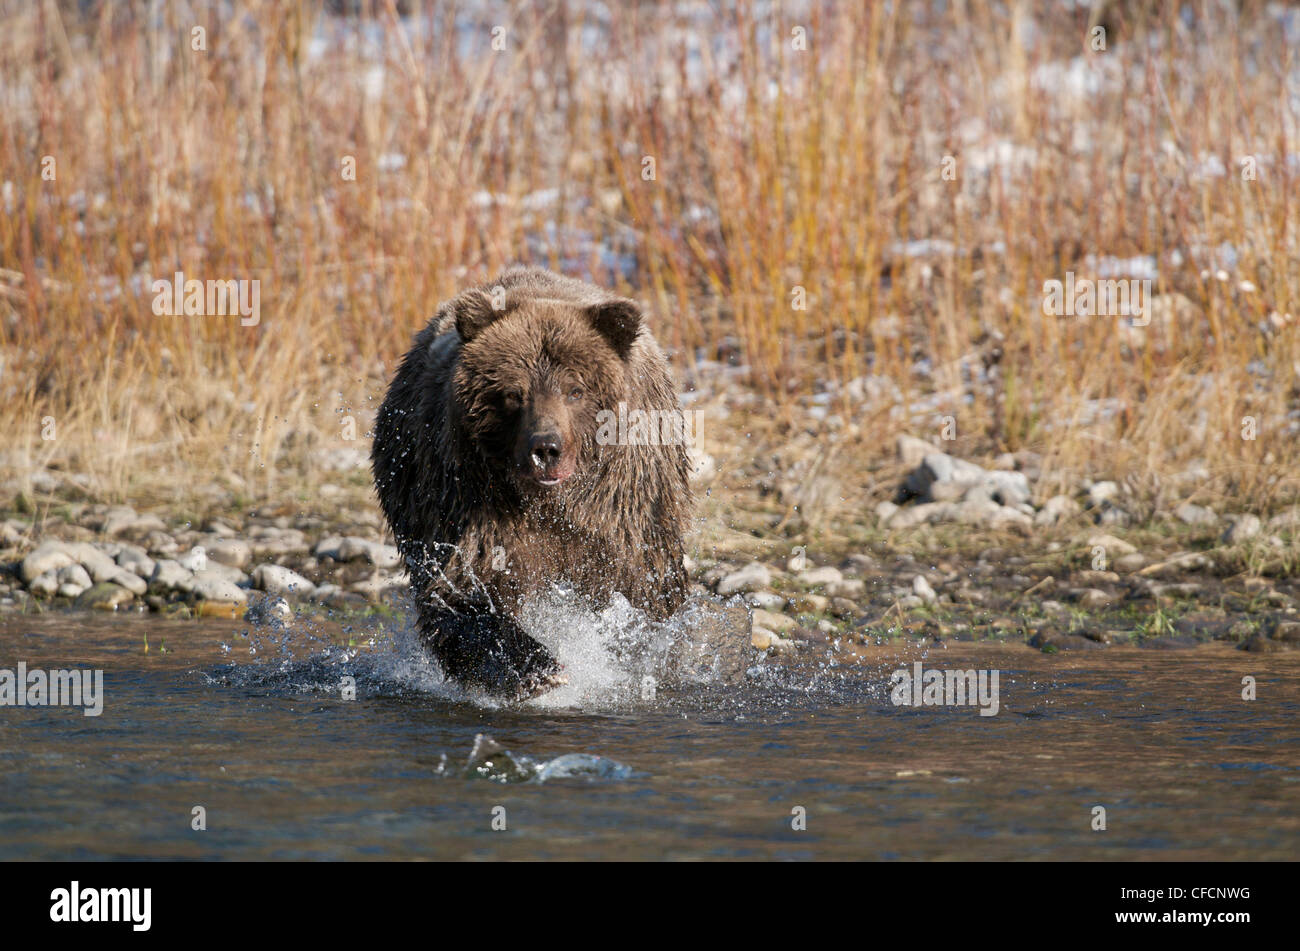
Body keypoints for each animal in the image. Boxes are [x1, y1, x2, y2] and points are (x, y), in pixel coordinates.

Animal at [371, 266, 692, 699]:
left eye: (576, 389)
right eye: (512, 393)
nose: (546, 448)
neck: (552, 504)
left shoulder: (620, 514)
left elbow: (643, 592)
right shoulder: (474, 504)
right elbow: (467, 591)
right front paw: (539, 669)